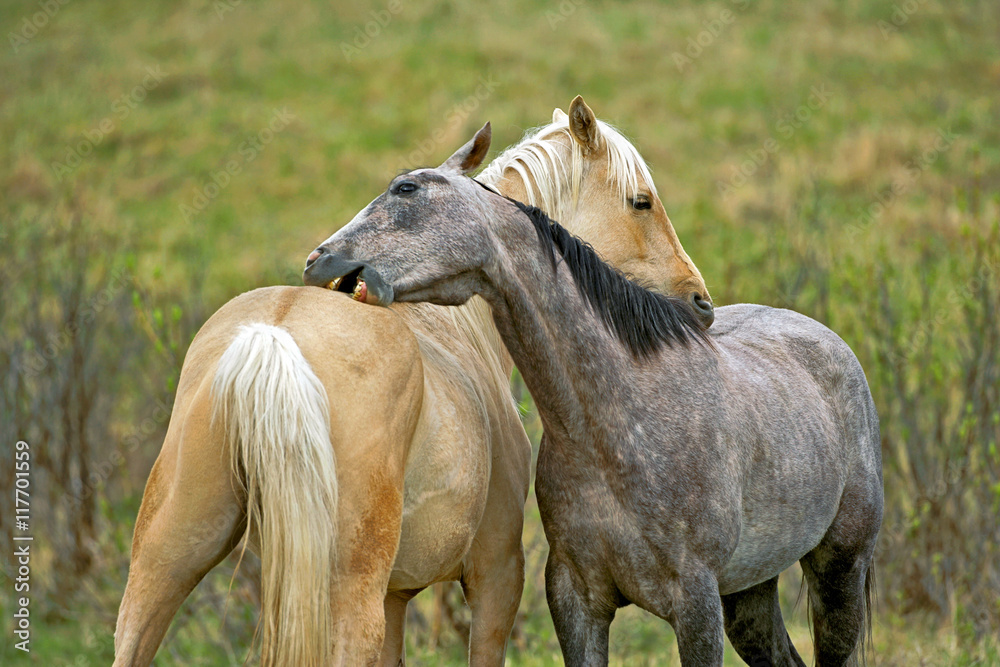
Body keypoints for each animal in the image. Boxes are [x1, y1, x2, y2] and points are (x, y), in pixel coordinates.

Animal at [113, 96, 714, 667]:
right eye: (641, 201)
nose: (699, 302)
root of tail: (274, 334)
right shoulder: (497, 574)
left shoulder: (395, 597)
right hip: (346, 596)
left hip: (165, 563)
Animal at [303, 124, 884, 667]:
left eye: (406, 189)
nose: (316, 261)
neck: (614, 424)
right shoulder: (577, 601)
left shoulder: (695, 606)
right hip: (750, 592)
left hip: (838, 571)